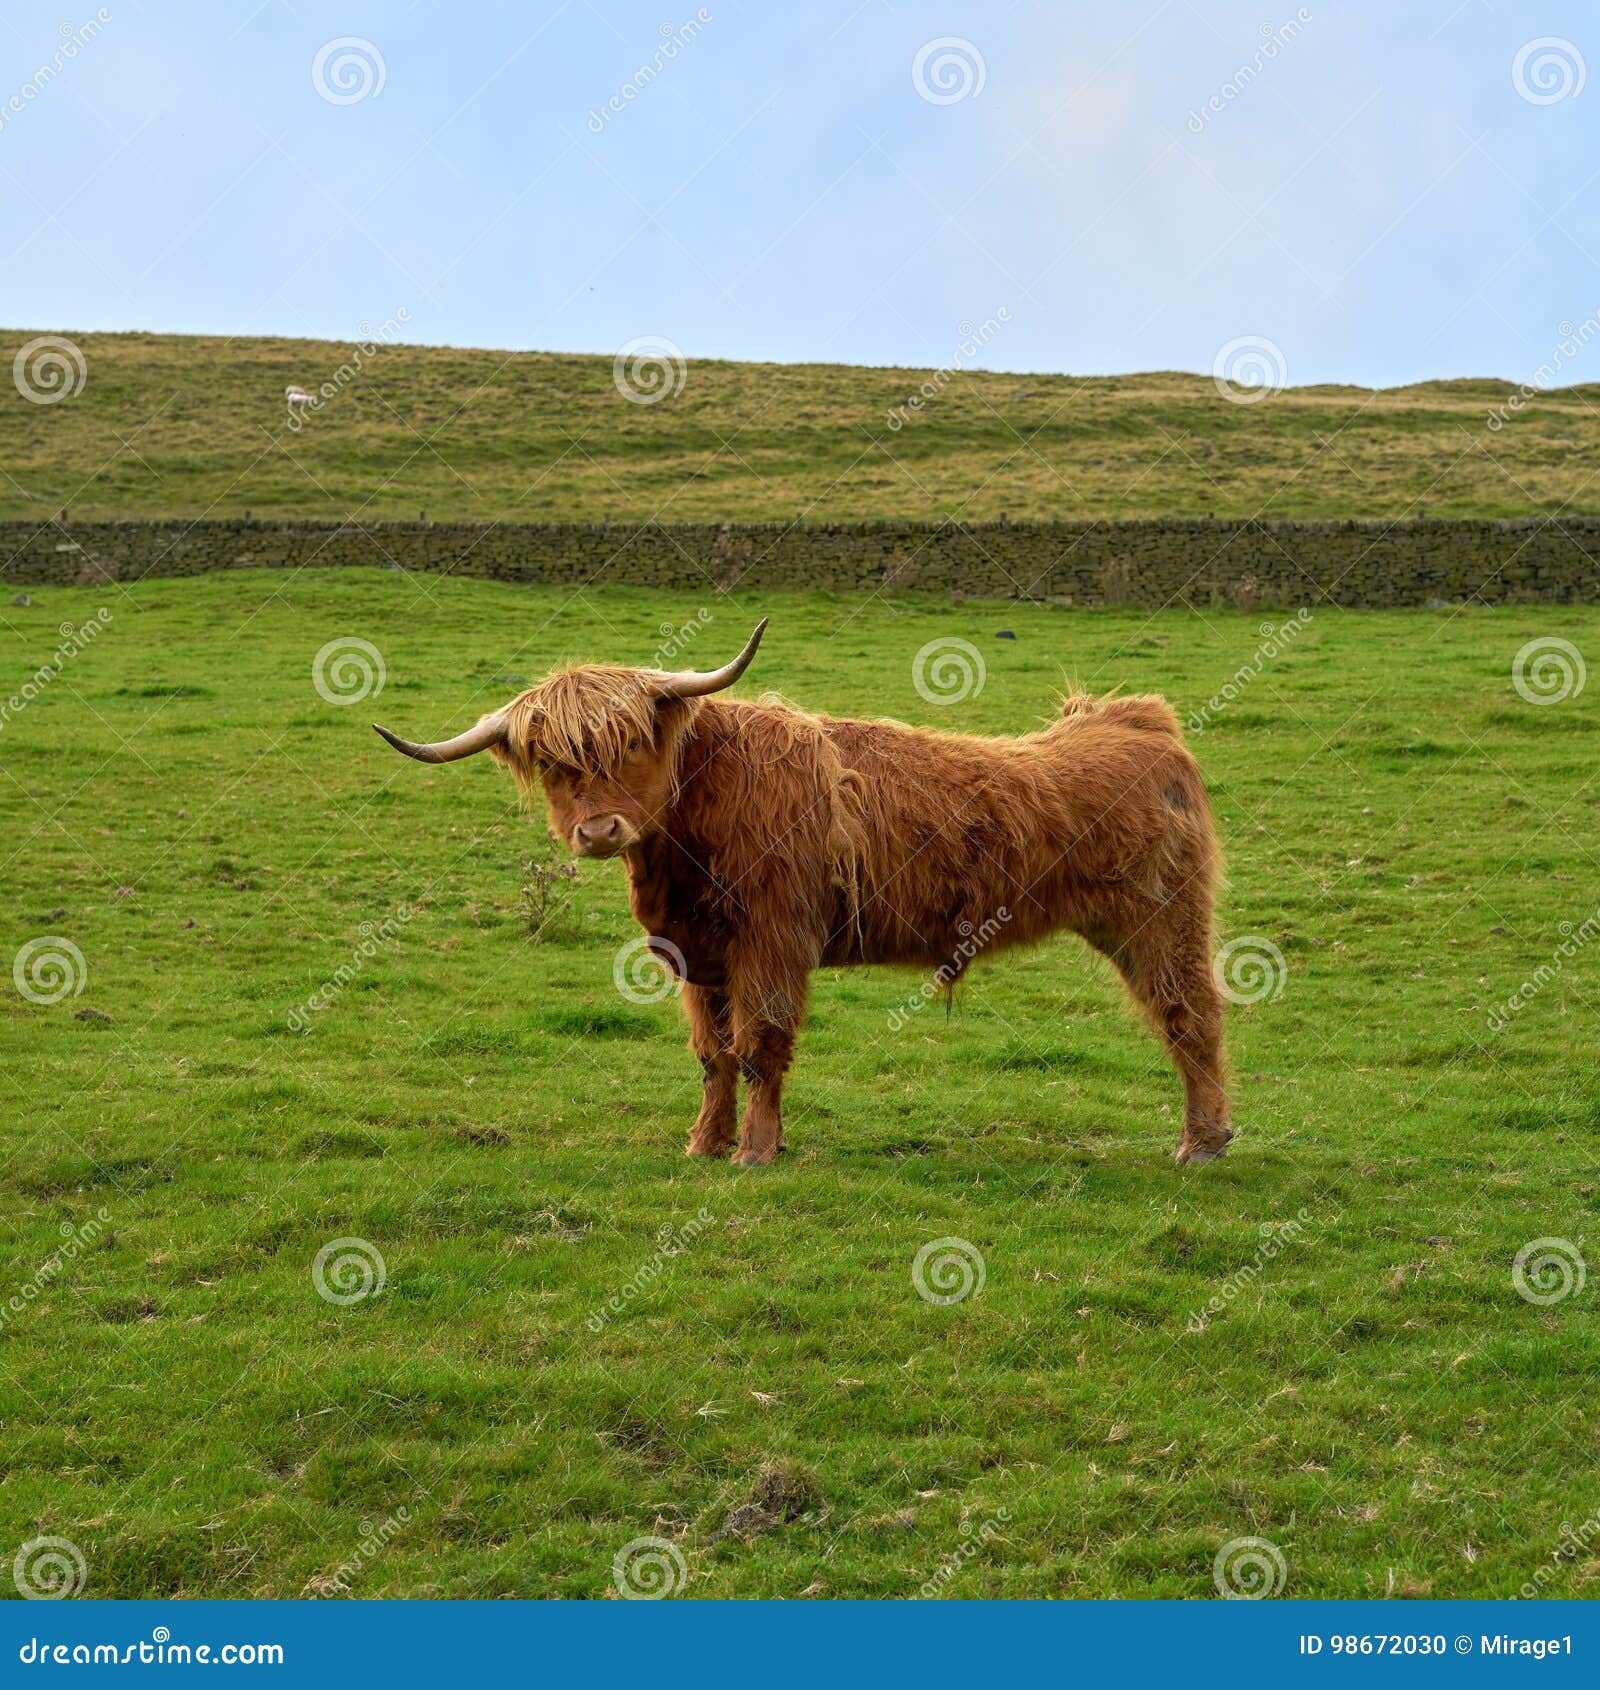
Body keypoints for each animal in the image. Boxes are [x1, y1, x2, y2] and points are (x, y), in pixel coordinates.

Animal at [374, 622, 1232, 1169]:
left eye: (633, 742)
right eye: (553, 764)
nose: (600, 828)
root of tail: (1137, 721)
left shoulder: (773, 942)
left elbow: (760, 1046)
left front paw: (756, 1152)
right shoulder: (699, 956)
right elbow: (712, 1054)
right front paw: (704, 1143)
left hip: (1161, 921)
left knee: (1190, 1017)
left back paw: (1202, 1142)